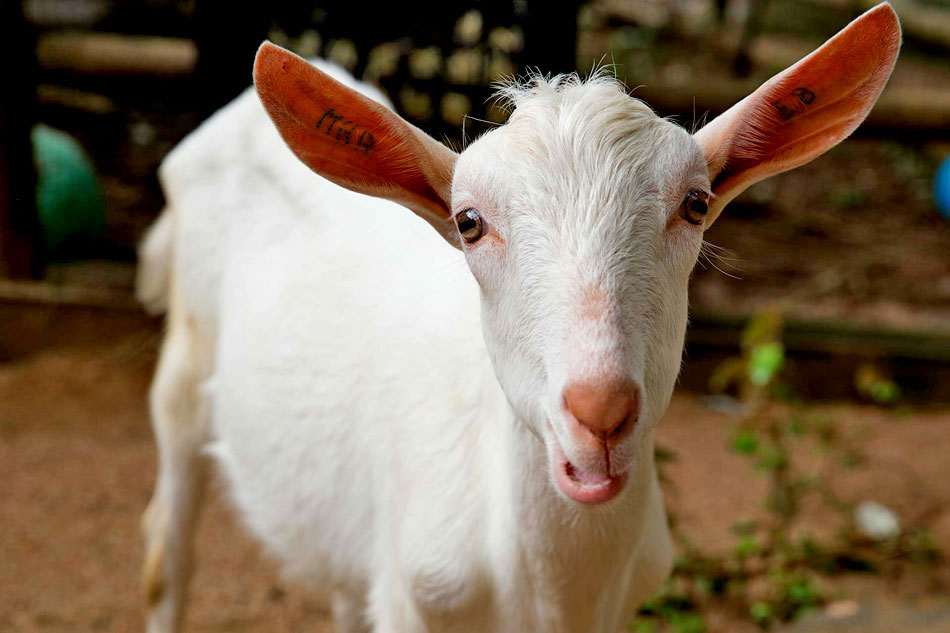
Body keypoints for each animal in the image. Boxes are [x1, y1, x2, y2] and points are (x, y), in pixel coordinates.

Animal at [138, 5, 900, 632]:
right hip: (183, 375)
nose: (599, 412)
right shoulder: (417, 599)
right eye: (469, 222)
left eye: (695, 204)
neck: (551, 594)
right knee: (166, 553)